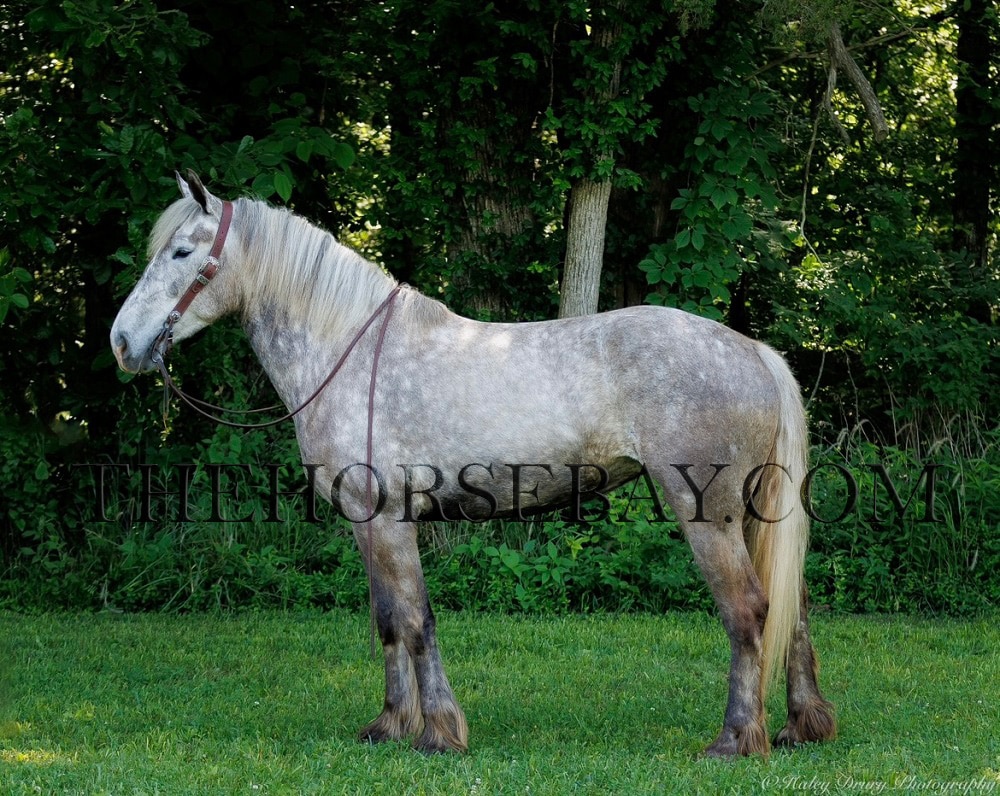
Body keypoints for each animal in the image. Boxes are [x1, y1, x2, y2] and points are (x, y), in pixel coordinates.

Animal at [110, 171, 836, 757]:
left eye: (182, 252)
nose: (122, 341)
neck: (347, 349)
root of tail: (751, 350)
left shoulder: (389, 519)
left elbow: (414, 620)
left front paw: (437, 732)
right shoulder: (365, 522)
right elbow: (386, 620)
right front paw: (389, 726)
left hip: (706, 515)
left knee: (747, 612)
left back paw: (735, 740)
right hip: (754, 512)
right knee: (793, 608)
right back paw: (801, 728)